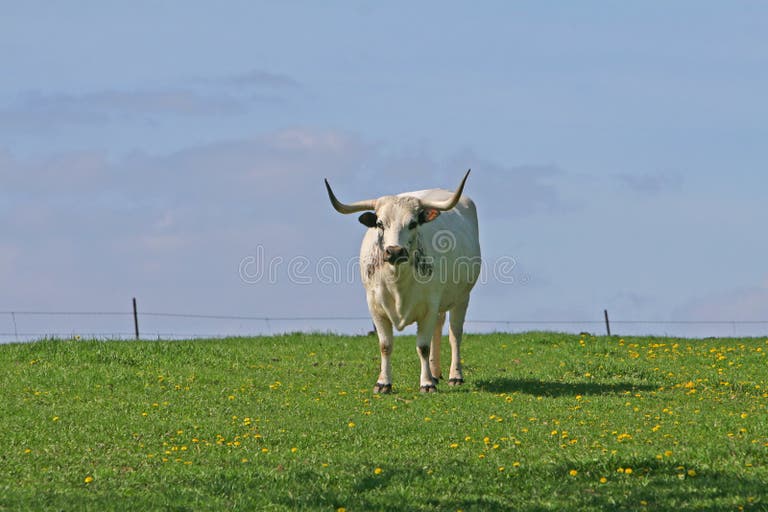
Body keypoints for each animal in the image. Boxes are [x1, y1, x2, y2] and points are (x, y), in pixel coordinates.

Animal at [324, 170, 481, 393]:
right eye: (380, 224)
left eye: (413, 223)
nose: (395, 251)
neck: (397, 283)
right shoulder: (375, 307)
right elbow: (385, 345)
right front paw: (383, 383)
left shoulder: (429, 306)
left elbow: (422, 346)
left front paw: (426, 384)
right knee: (439, 327)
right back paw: (435, 373)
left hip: (462, 298)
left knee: (454, 335)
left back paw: (454, 376)